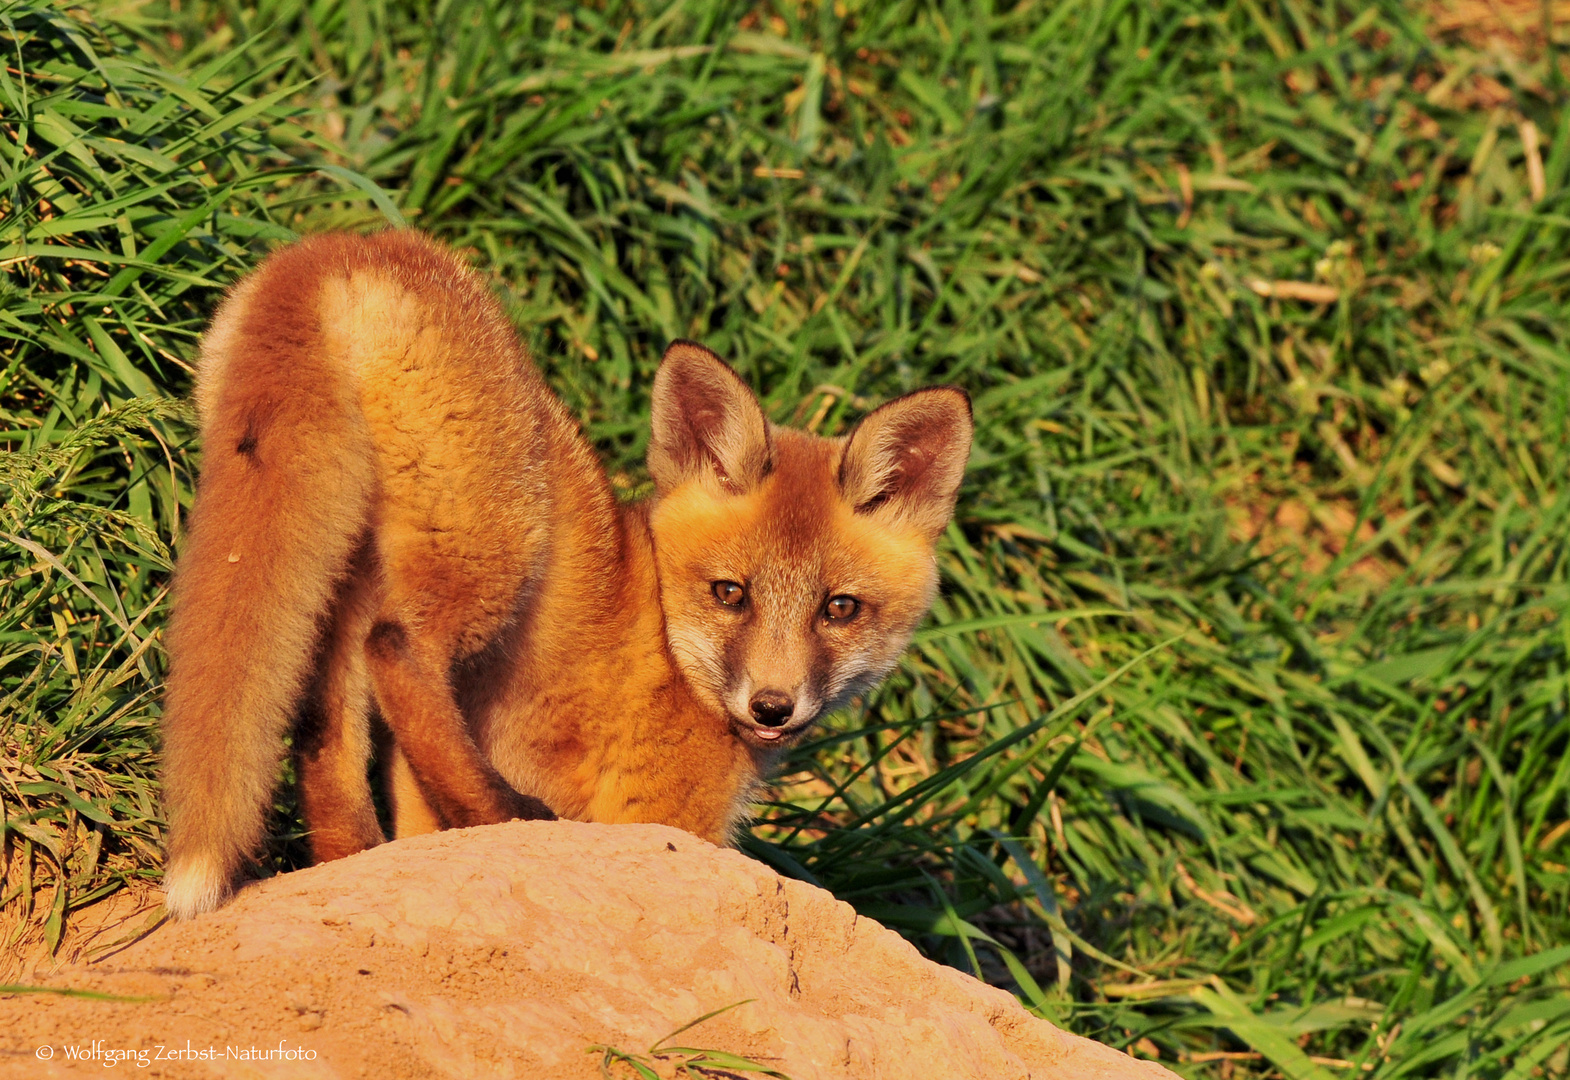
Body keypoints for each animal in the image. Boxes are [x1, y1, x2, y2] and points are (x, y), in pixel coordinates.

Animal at [159, 230, 972, 920]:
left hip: (346, 563)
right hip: (495, 545)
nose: (772, 708)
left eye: (840, 608)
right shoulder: (662, 817)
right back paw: (501, 813)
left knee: (327, 724)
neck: (670, 638)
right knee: (397, 650)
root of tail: (341, 250)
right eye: (730, 594)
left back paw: (358, 856)